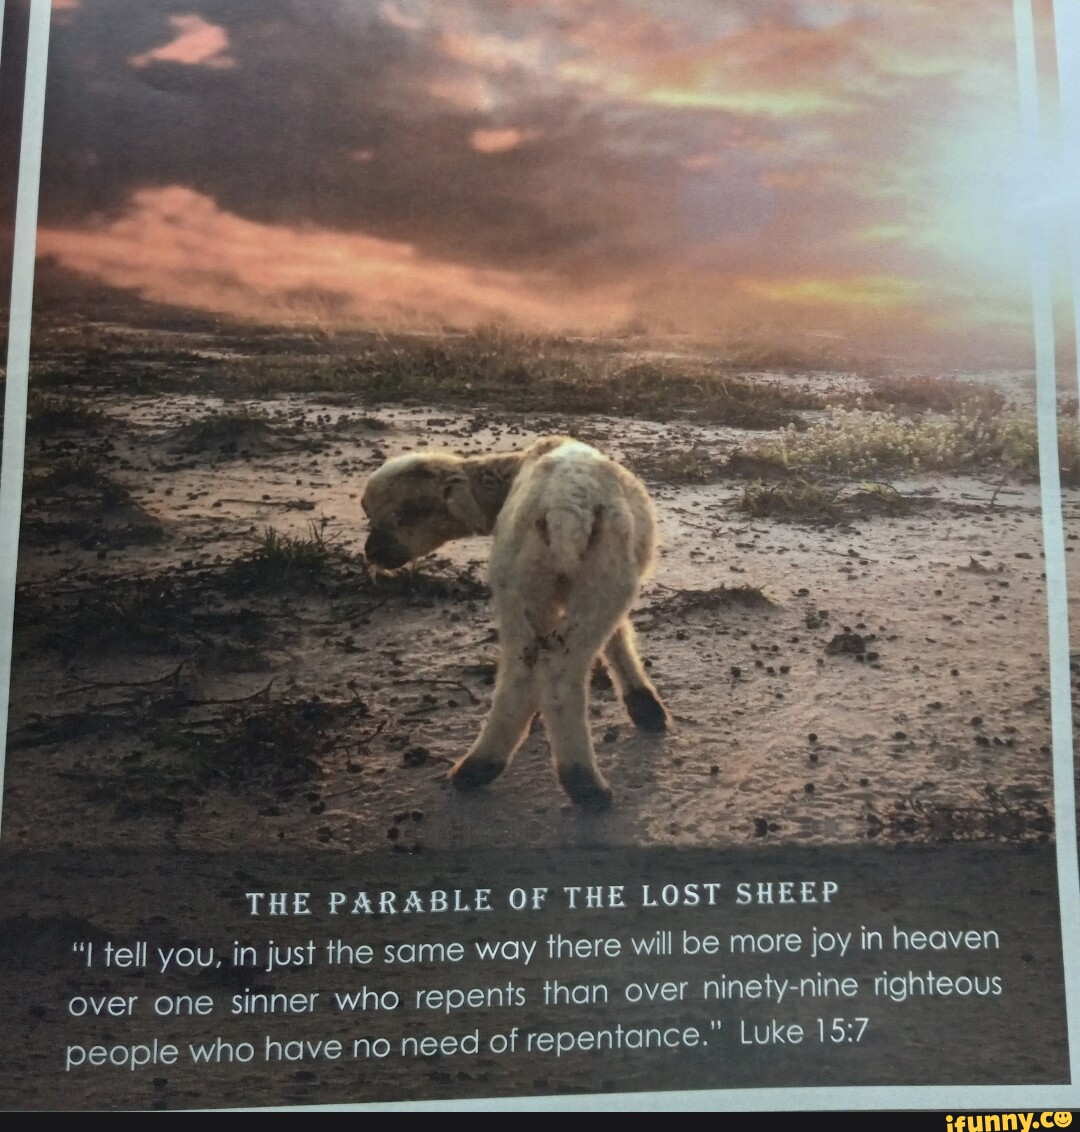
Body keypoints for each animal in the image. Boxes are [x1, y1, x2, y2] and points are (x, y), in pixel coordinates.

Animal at [362, 436, 669, 811]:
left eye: (406, 513)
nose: (371, 552)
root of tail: (566, 509)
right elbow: (618, 635)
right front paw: (644, 704)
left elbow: (615, 637)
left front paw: (644, 705)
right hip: (597, 579)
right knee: (554, 669)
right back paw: (577, 783)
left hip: (527, 578)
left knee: (526, 670)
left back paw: (494, 767)